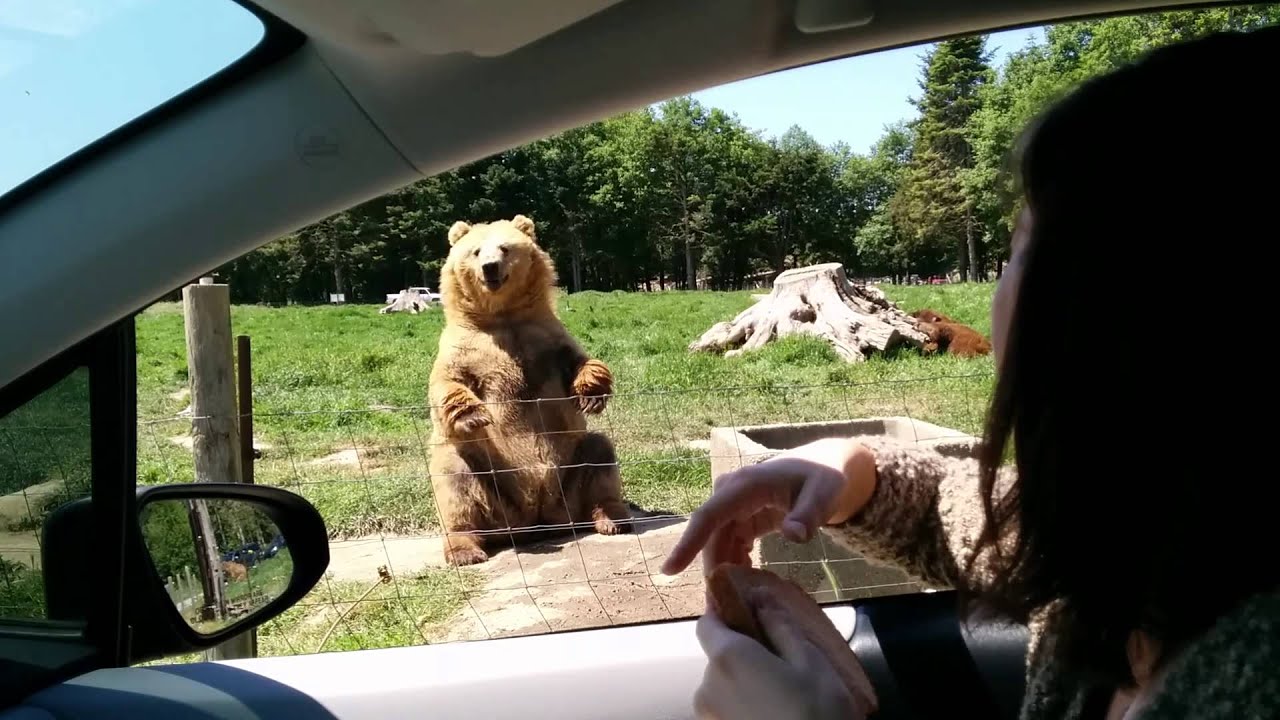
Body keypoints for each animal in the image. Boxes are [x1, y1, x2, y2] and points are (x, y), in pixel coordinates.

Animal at [426, 214, 632, 567]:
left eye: (505, 248)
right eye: (476, 251)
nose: (490, 268)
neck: (502, 315)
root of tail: (535, 521)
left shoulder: (547, 340)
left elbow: (579, 362)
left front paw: (592, 392)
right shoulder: (464, 349)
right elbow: (446, 386)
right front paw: (473, 416)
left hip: (570, 475)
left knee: (600, 454)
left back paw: (612, 517)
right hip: (492, 485)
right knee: (454, 478)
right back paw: (465, 549)